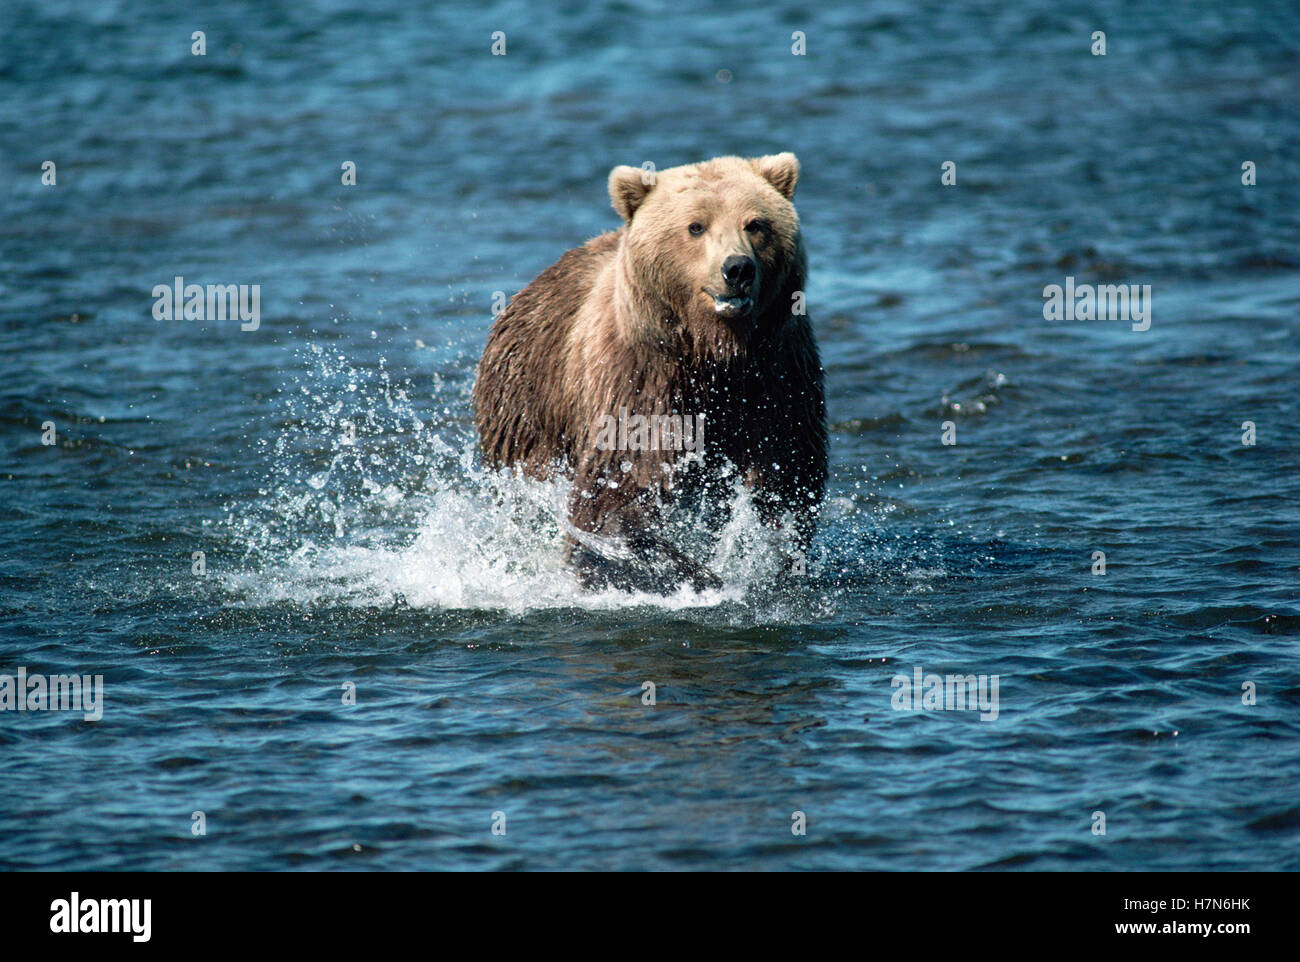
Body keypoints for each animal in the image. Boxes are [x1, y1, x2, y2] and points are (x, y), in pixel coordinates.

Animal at [473, 153, 827, 592]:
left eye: (756, 223)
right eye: (696, 226)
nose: (737, 269)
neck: (713, 351)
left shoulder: (776, 377)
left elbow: (785, 480)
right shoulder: (642, 381)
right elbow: (616, 493)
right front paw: (691, 572)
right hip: (530, 408)